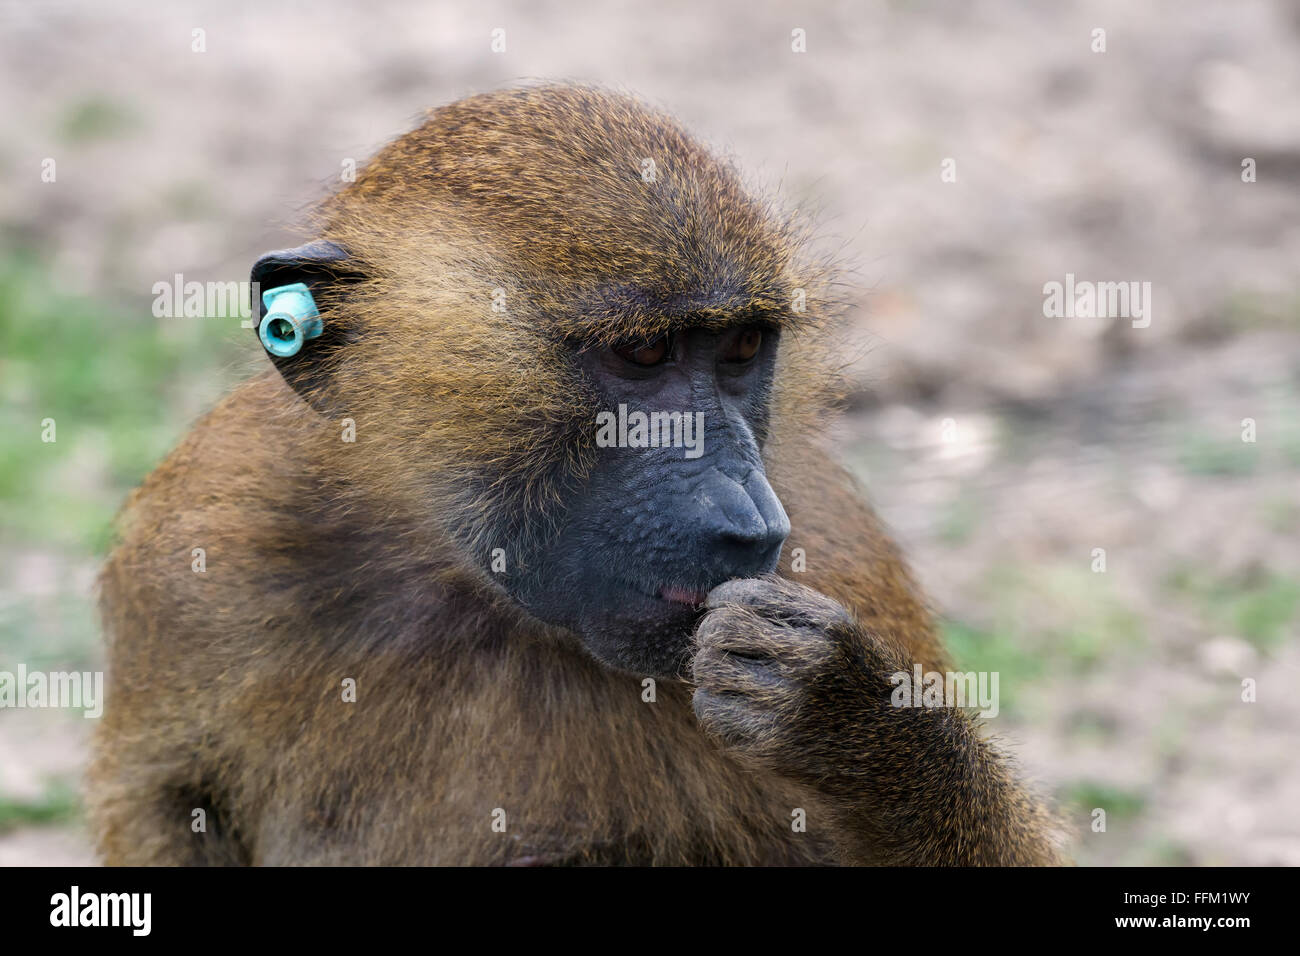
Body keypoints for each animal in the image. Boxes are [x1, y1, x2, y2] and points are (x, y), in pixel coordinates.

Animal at [87, 84, 1064, 866]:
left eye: (742, 348)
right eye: (643, 354)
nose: (750, 522)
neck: (468, 595)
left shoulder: (834, 551)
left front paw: (852, 718)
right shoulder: (207, 550)